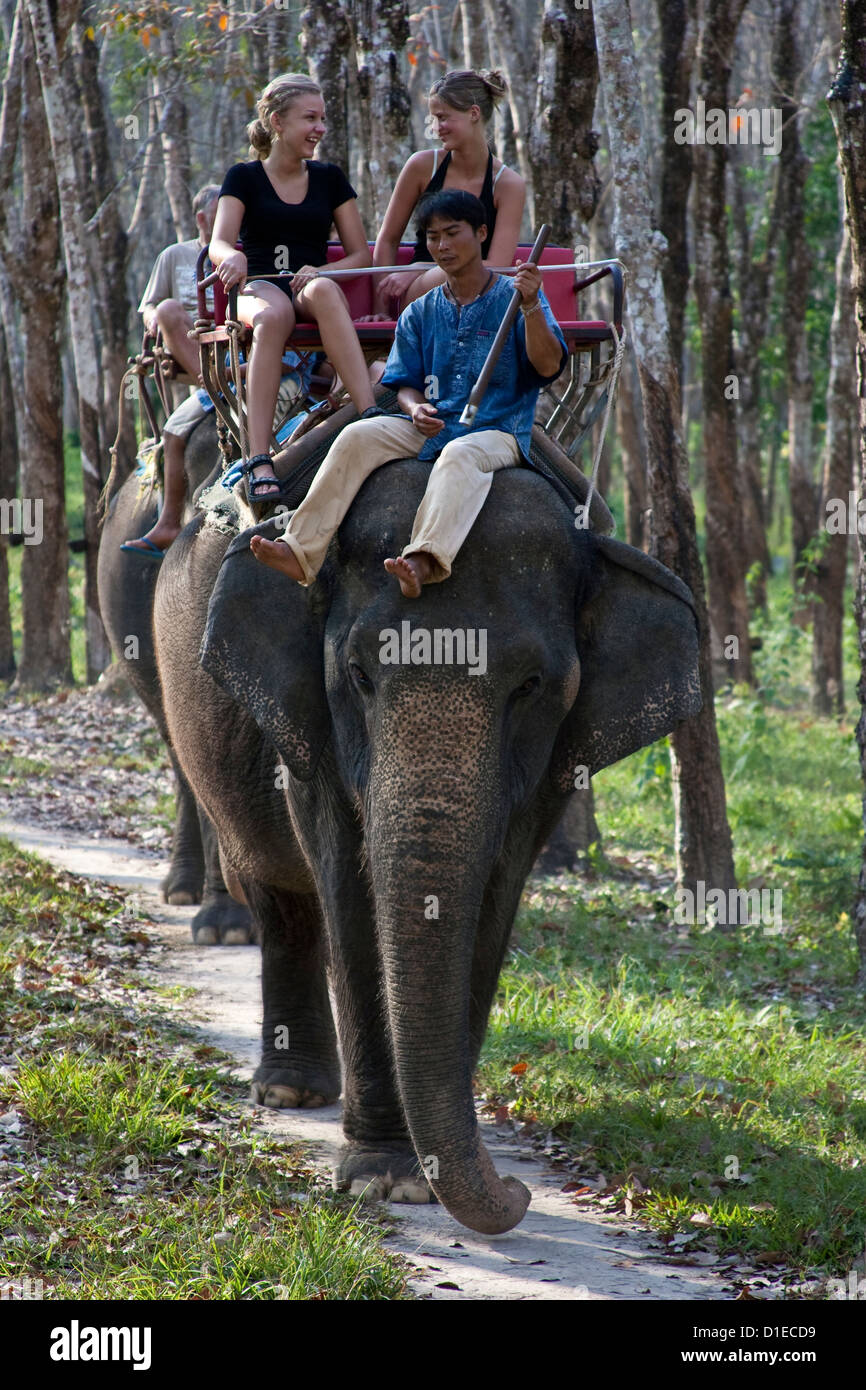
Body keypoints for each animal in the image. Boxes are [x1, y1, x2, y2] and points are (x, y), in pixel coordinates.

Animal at [152, 448, 701, 1234]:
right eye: (357, 675)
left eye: (531, 686)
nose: (520, 1191)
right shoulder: (311, 725)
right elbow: (350, 894)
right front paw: (387, 1177)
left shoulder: (553, 765)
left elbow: (495, 898)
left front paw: (427, 1169)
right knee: (280, 896)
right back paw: (290, 1092)